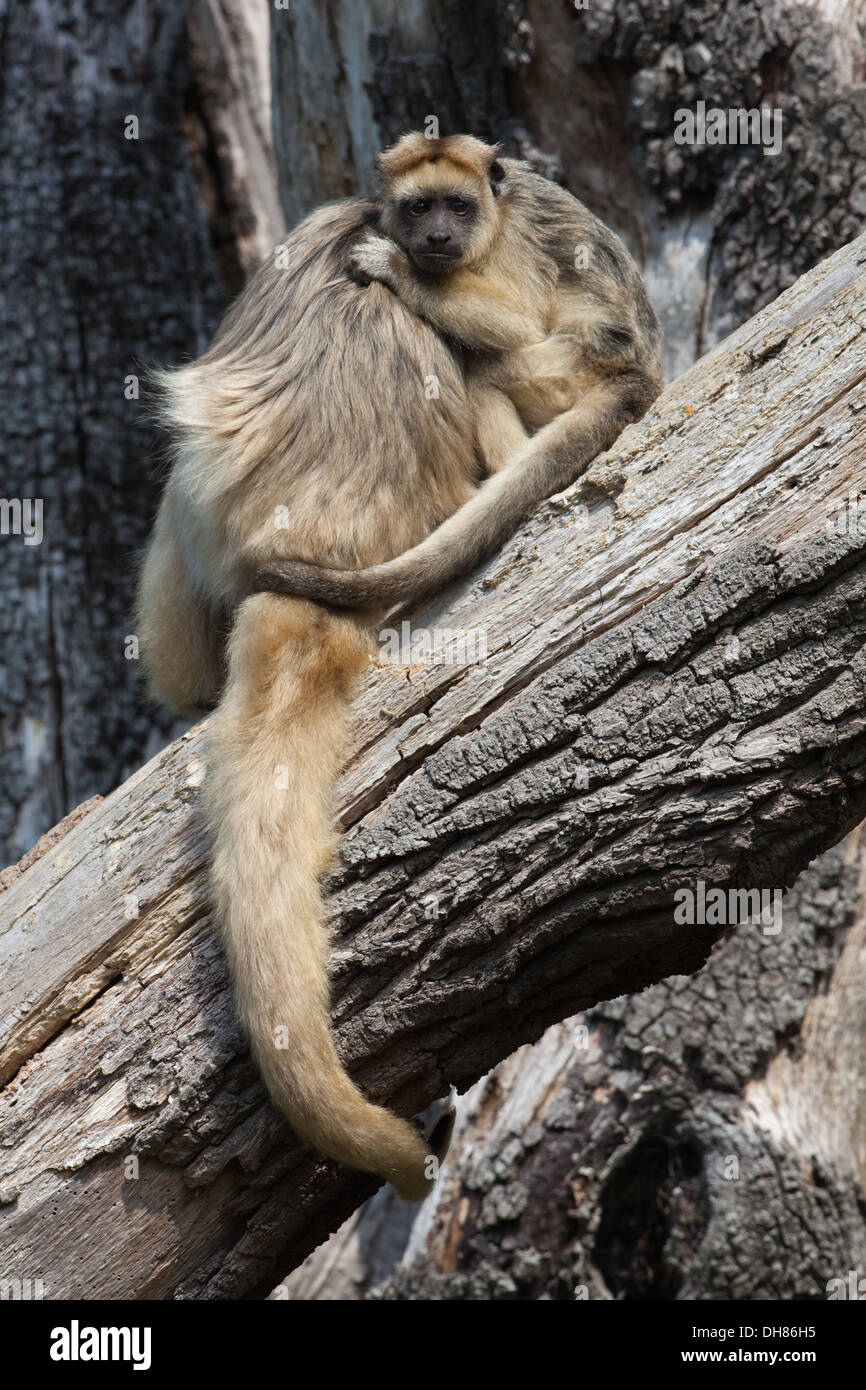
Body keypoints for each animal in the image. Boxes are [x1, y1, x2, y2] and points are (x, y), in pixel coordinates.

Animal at [253, 132, 662, 611]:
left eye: (458, 206)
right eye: (420, 207)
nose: (439, 234)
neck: (496, 217)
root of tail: (643, 376)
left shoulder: (515, 240)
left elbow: (520, 323)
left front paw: (398, 269)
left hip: (576, 368)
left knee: (485, 370)